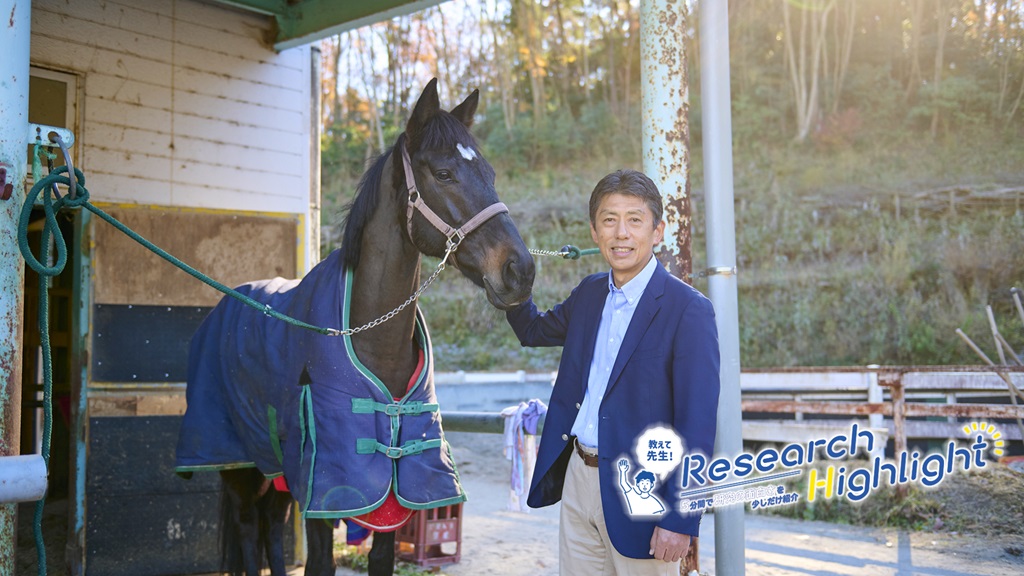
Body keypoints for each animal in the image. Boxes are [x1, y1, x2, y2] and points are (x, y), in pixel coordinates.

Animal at [174, 78, 536, 576]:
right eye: (443, 173)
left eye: (491, 173)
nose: (520, 270)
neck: (373, 341)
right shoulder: (327, 490)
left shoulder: (387, 501)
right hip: (238, 463)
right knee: (248, 527)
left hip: (278, 470)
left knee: (271, 526)